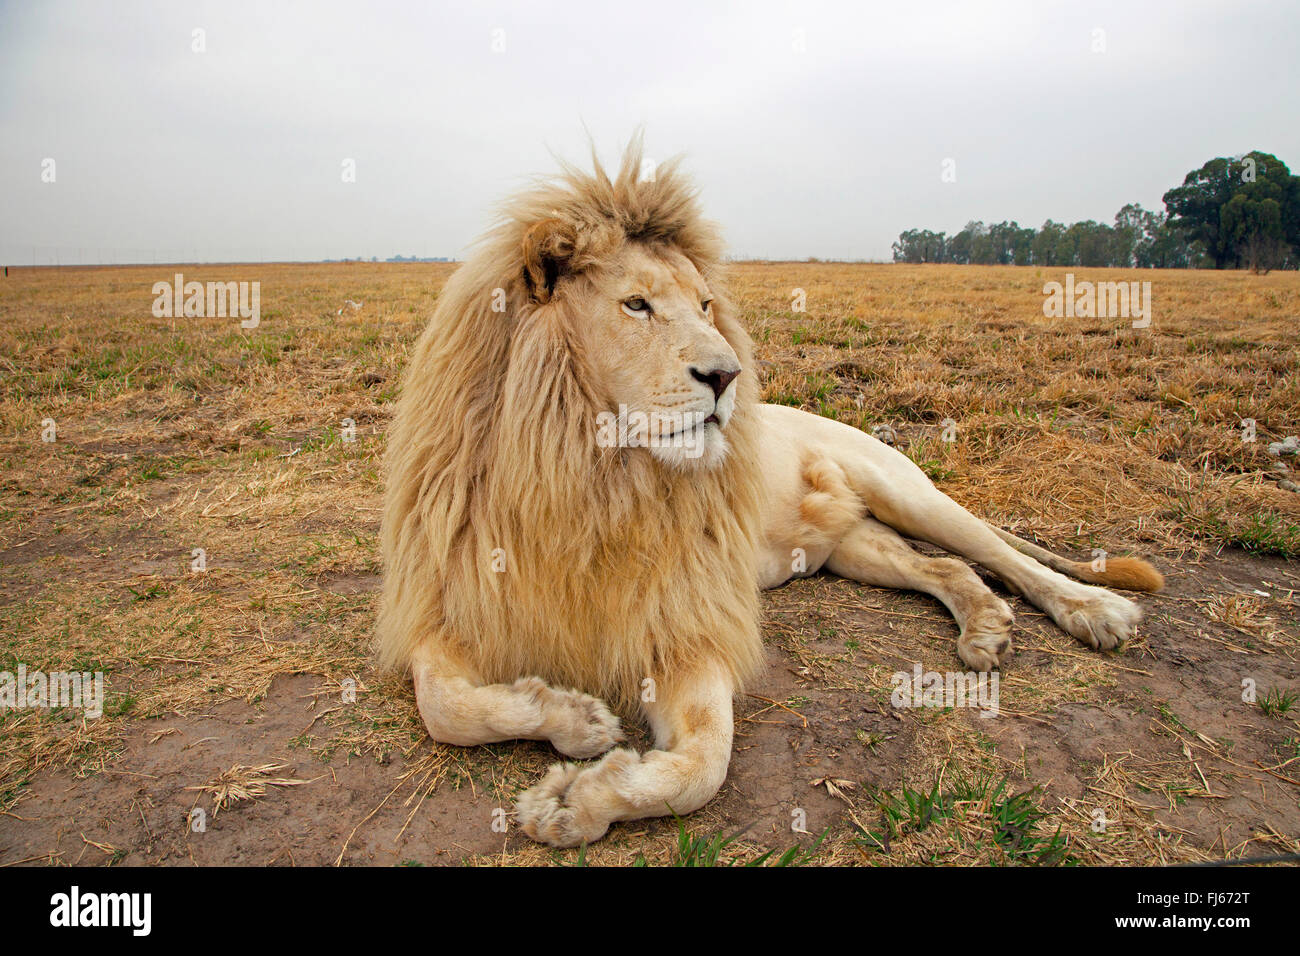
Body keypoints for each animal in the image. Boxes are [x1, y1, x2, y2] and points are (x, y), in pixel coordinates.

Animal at [377, 141, 1163, 848]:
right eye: (636, 305)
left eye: (705, 305)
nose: (726, 376)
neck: (591, 481)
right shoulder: (459, 605)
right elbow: (446, 705)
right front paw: (576, 718)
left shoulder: (687, 624)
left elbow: (703, 764)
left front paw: (578, 799)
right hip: (849, 547)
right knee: (941, 568)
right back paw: (984, 629)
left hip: (905, 489)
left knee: (1004, 556)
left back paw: (1097, 611)